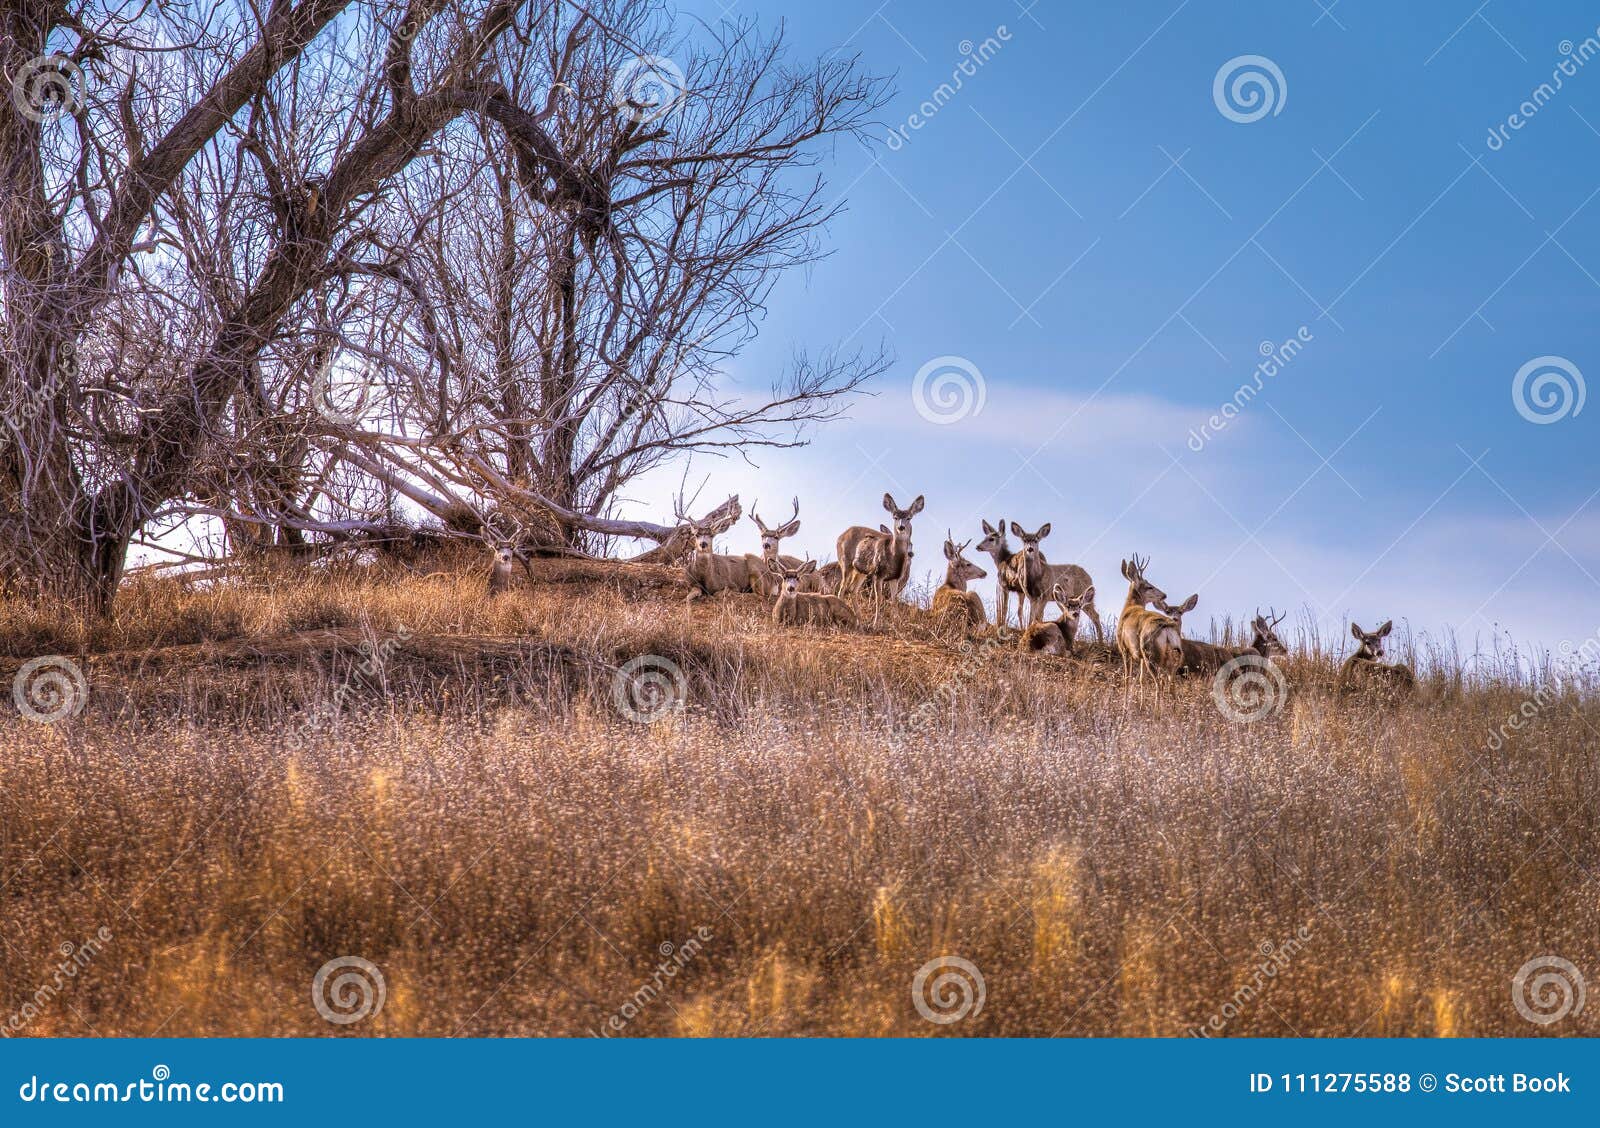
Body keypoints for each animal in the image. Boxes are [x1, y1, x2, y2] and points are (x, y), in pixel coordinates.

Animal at [836, 493, 923, 624]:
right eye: (895, 517)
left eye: (909, 517)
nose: (901, 527)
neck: (893, 556)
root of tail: (840, 536)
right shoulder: (878, 573)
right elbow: (879, 599)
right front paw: (876, 623)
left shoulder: (895, 578)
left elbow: (894, 601)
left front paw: (897, 623)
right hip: (845, 562)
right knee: (842, 588)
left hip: (861, 571)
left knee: (852, 589)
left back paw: (860, 620)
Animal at [1116, 555, 1182, 686]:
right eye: (1149, 586)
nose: (1164, 595)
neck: (1129, 608)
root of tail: (1167, 627)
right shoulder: (1140, 656)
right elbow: (1142, 679)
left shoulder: (1124, 649)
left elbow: (1127, 678)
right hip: (1175, 656)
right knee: (1170, 682)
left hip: (1149, 653)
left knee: (1159, 682)